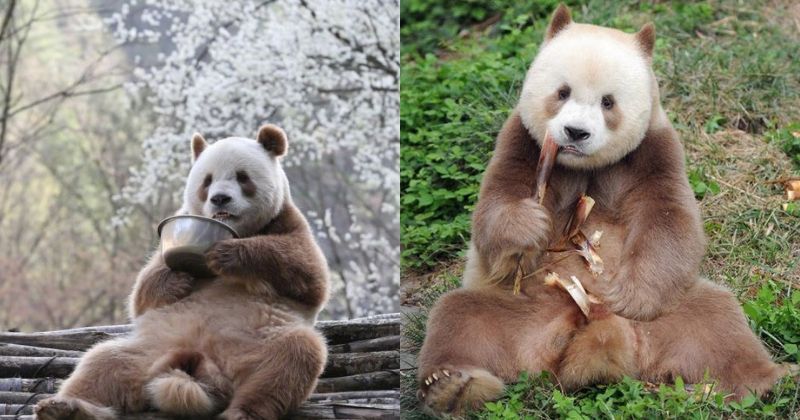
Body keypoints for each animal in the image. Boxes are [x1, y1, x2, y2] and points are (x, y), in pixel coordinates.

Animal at [35, 125, 329, 420]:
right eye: (207, 181)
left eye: (242, 177)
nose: (220, 198)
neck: (241, 230)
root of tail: (206, 368)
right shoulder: (168, 238)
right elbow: (141, 296)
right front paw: (178, 281)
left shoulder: (285, 221)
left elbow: (308, 272)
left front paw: (228, 255)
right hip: (149, 349)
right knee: (103, 364)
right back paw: (66, 407)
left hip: (258, 344)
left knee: (291, 360)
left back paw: (241, 412)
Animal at [417, 4, 794, 415]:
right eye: (562, 92)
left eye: (608, 102)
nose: (575, 132)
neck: (585, 165)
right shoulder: (523, 142)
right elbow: (494, 208)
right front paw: (528, 227)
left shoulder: (652, 151)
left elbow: (669, 221)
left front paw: (629, 294)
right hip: (516, 313)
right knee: (458, 317)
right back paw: (452, 384)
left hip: (669, 316)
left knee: (718, 320)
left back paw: (767, 380)